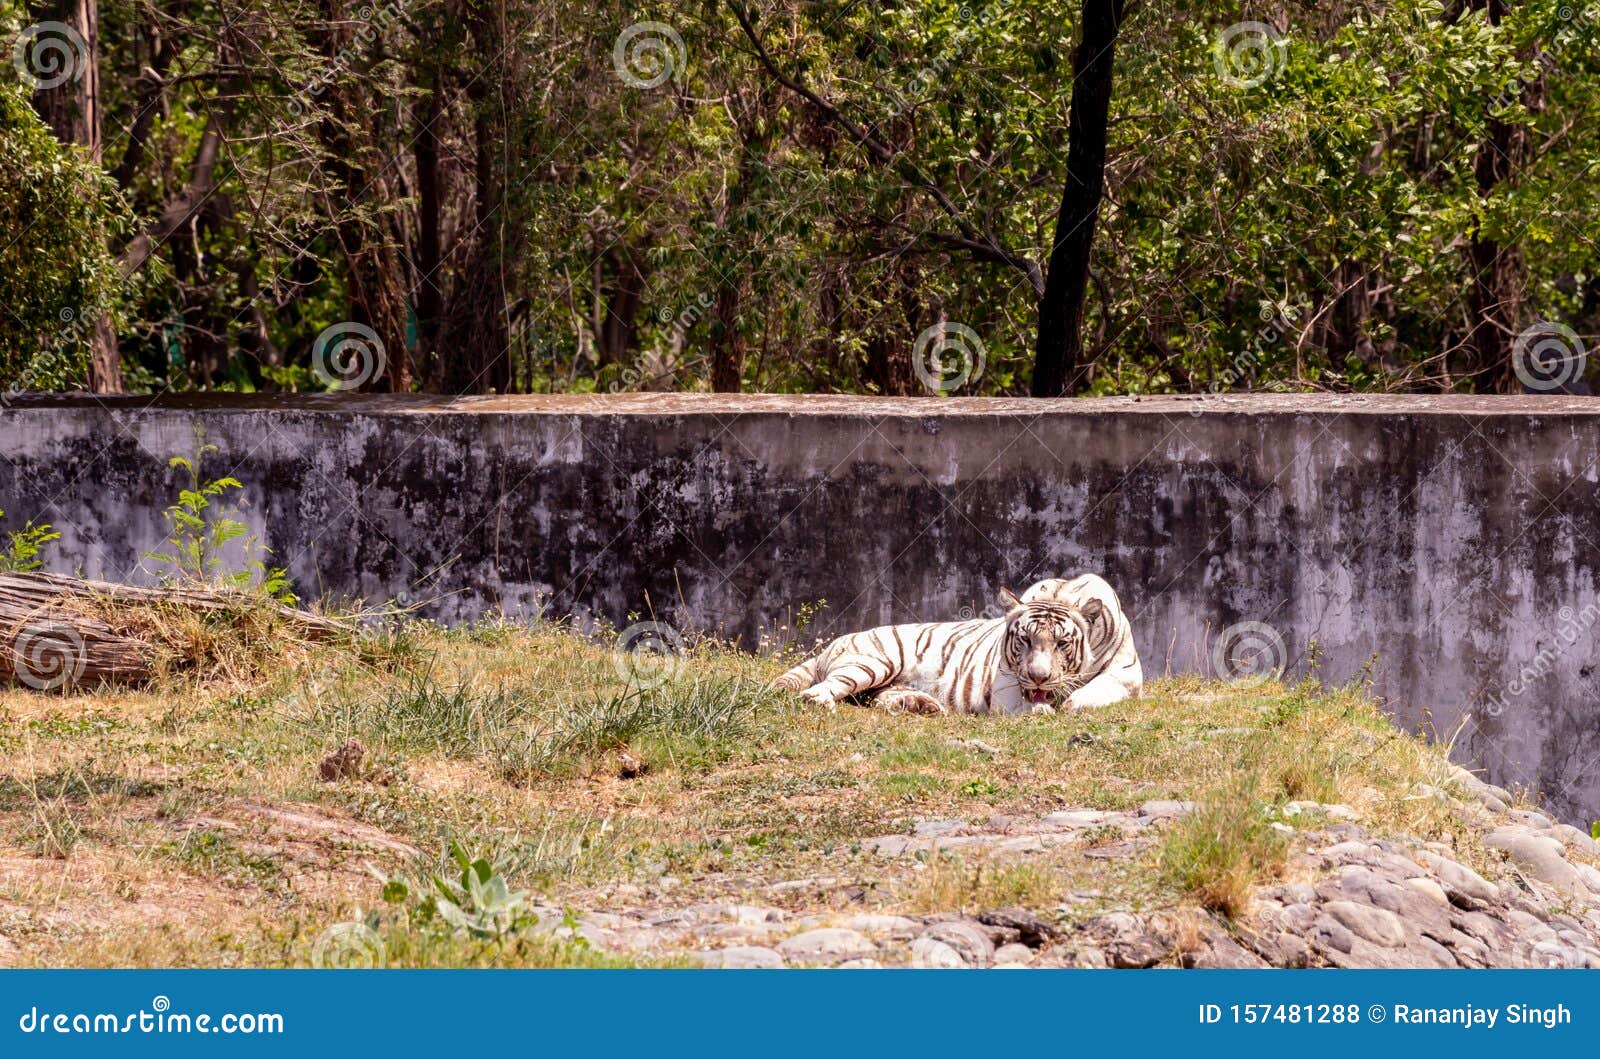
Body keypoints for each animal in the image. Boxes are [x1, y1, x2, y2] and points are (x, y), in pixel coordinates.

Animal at [771, 577, 1136, 715]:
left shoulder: (1125, 677)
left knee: (876, 698)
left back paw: (920, 704)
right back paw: (819, 700)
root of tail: (835, 641)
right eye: (1025, 640)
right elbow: (1031, 706)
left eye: (1062, 643)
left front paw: (1070, 703)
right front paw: (1045, 708)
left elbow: (1089, 694)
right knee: (830, 686)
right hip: (875, 662)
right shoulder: (1006, 687)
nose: (1038, 677)